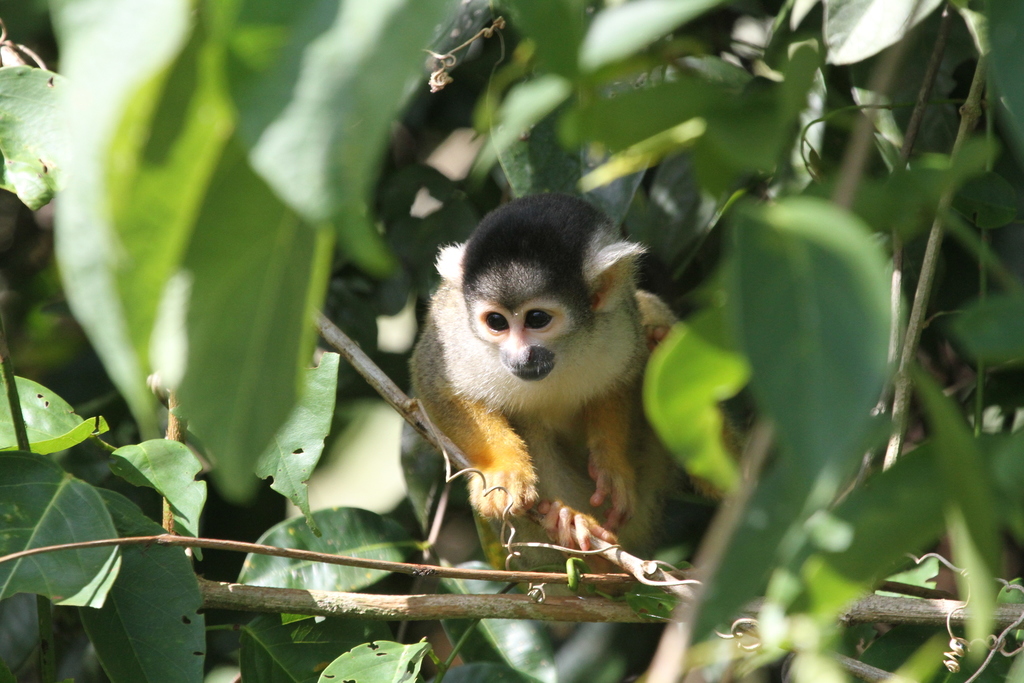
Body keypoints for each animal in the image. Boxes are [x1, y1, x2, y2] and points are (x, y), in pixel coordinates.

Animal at [410, 193, 678, 566]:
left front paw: (611, 465)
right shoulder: (451, 328)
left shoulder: (620, 322)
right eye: (496, 321)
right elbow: (435, 384)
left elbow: (620, 380)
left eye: (537, 318)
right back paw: (570, 525)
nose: (520, 356)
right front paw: (503, 470)